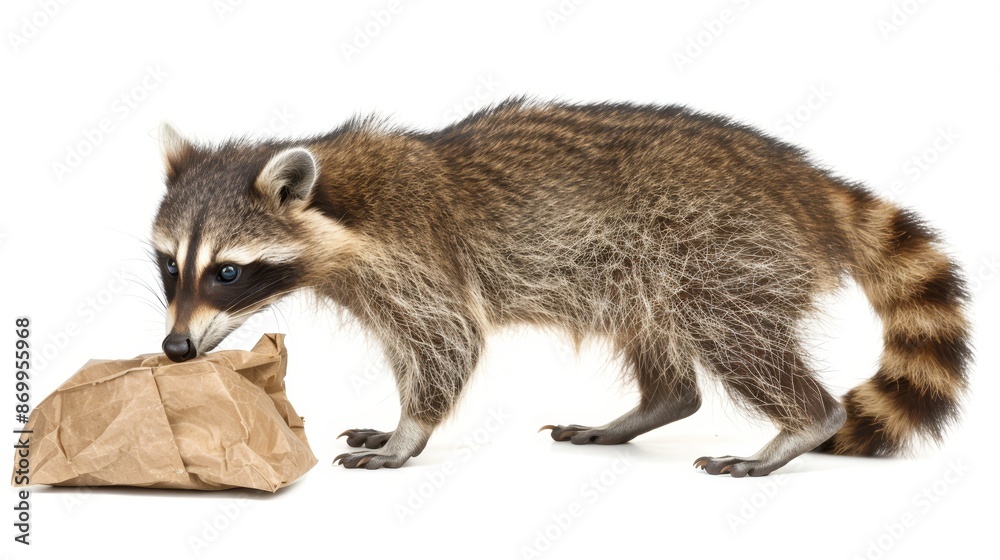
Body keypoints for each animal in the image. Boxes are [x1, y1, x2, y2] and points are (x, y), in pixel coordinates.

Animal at [150, 99, 971, 476]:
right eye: (170, 267)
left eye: (227, 272)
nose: (177, 348)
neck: (338, 199)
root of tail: (803, 181)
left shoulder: (419, 255)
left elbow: (449, 340)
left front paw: (410, 429)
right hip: (645, 265)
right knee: (658, 335)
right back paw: (652, 406)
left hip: (721, 248)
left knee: (729, 329)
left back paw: (802, 422)